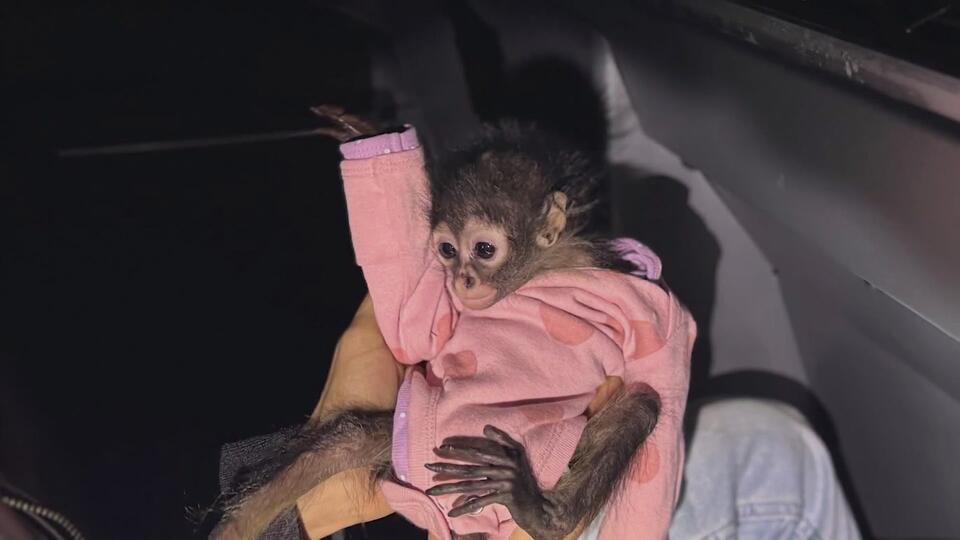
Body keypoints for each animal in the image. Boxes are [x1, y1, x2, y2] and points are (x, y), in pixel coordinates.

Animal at [211, 108, 694, 540]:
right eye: (446, 250)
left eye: (483, 249)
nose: (462, 280)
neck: (537, 272)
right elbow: (409, 329)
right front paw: (366, 133)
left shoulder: (637, 298)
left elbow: (663, 361)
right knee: (344, 440)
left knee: (644, 404)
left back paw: (542, 514)